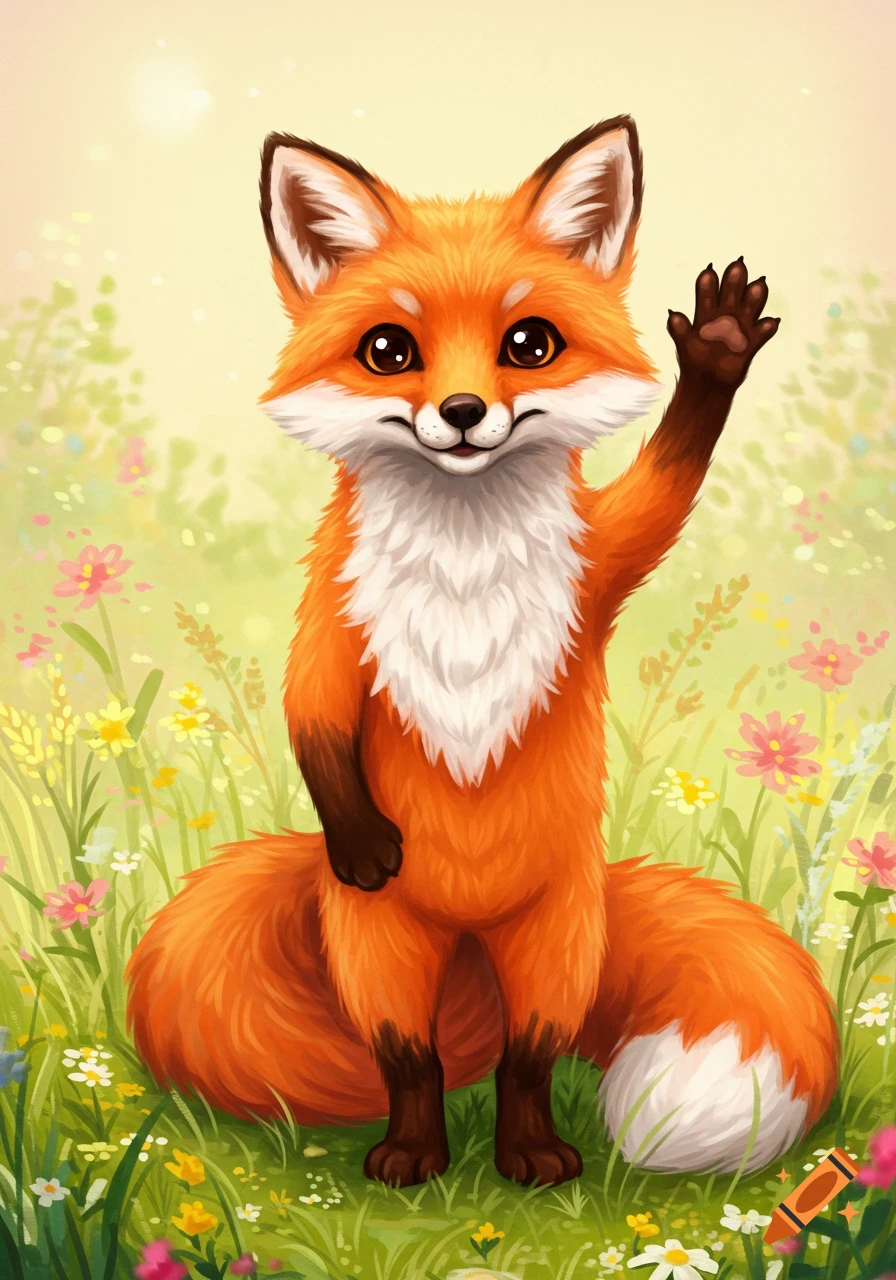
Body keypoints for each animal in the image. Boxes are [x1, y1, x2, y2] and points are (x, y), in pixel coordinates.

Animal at [127, 116, 838, 1188]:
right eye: (389, 350)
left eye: (528, 344)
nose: (463, 413)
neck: (463, 561)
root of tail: (468, 923)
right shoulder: (331, 621)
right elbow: (311, 711)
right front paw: (364, 841)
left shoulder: (601, 559)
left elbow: (665, 487)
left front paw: (715, 355)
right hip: (382, 948)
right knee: (411, 1056)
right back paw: (412, 1153)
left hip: (555, 940)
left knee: (526, 1055)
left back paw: (532, 1154)